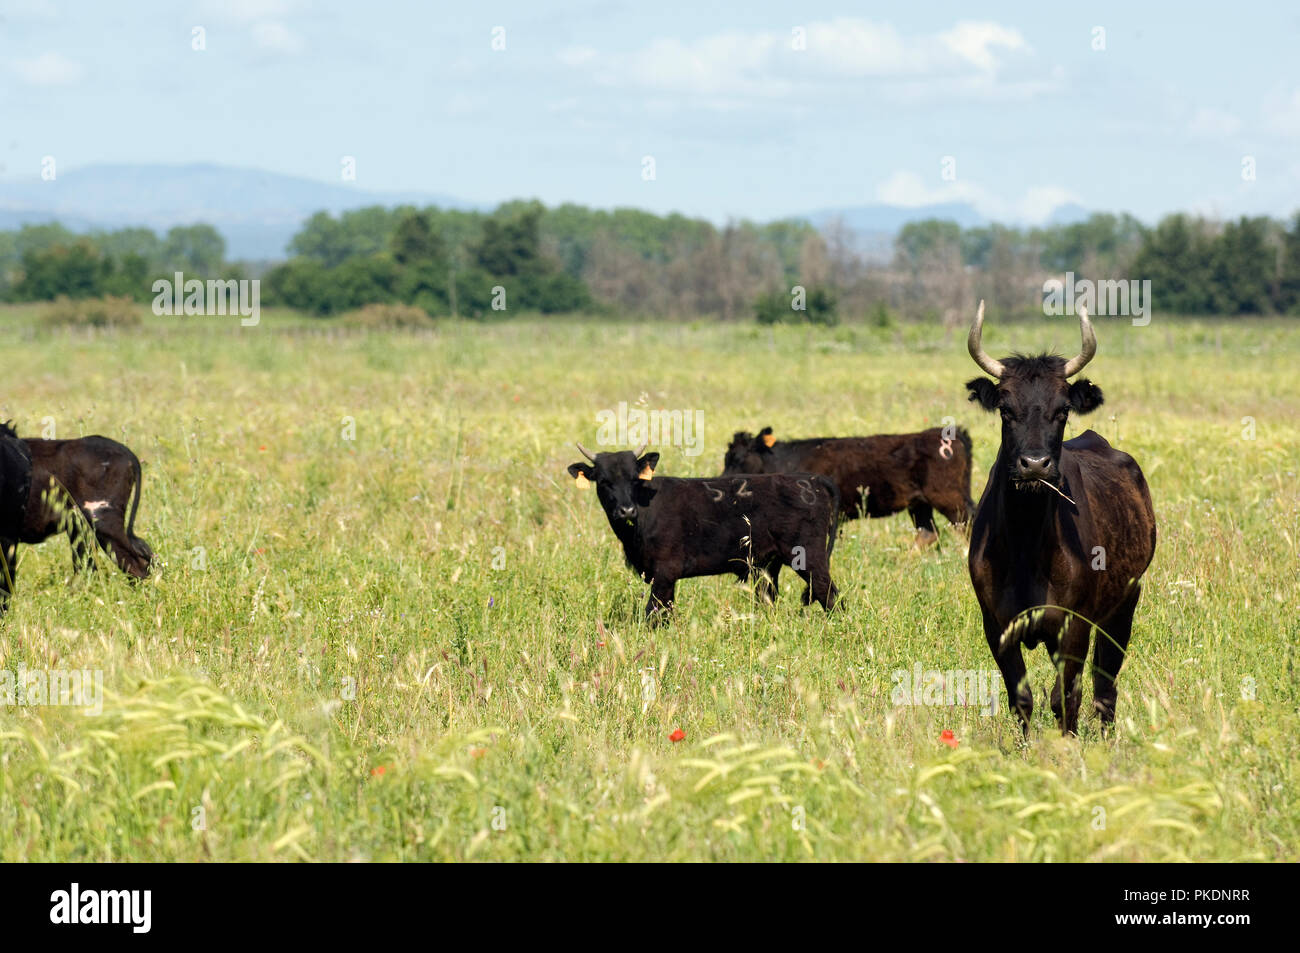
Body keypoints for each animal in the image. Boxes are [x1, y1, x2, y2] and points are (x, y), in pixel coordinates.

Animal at [567, 443, 839, 624]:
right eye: (604, 481)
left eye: (635, 478)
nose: (626, 510)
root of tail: (811, 480)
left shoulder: (665, 571)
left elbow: (653, 613)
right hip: (768, 567)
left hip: (809, 558)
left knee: (829, 594)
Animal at [723, 425, 975, 544]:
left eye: (738, 459)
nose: (725, 481)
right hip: (919, 503)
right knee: (928, 533)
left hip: (949, 497)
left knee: (967, 524)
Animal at [963, 302, 1156, 736]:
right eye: (1006, 409)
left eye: (1062, 410)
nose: (1035, 464)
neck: (1025, 546)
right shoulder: (996, 626)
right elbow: (1021, 699)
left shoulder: (1075, 625)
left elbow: (1066, 699)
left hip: (1125, 604)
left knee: (1105, 685)